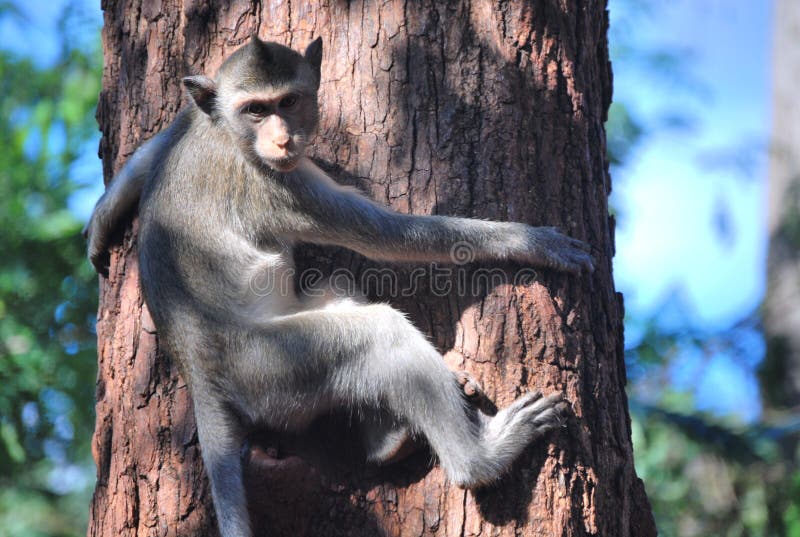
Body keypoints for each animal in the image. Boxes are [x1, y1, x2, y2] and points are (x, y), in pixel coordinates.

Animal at [84, 36, 593, 537]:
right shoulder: (281, 187)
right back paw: (480, 458)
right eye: (256, 110)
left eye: (288, 102)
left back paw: (389, 438)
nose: (283, 138)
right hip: (269, 372)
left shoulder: (197, 117)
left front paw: (104, 213)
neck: (227, 134)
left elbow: (159, 143)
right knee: (379, 333)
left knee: (338, 288)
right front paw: (532, 242)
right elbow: (387, 234)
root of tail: (196, 370)